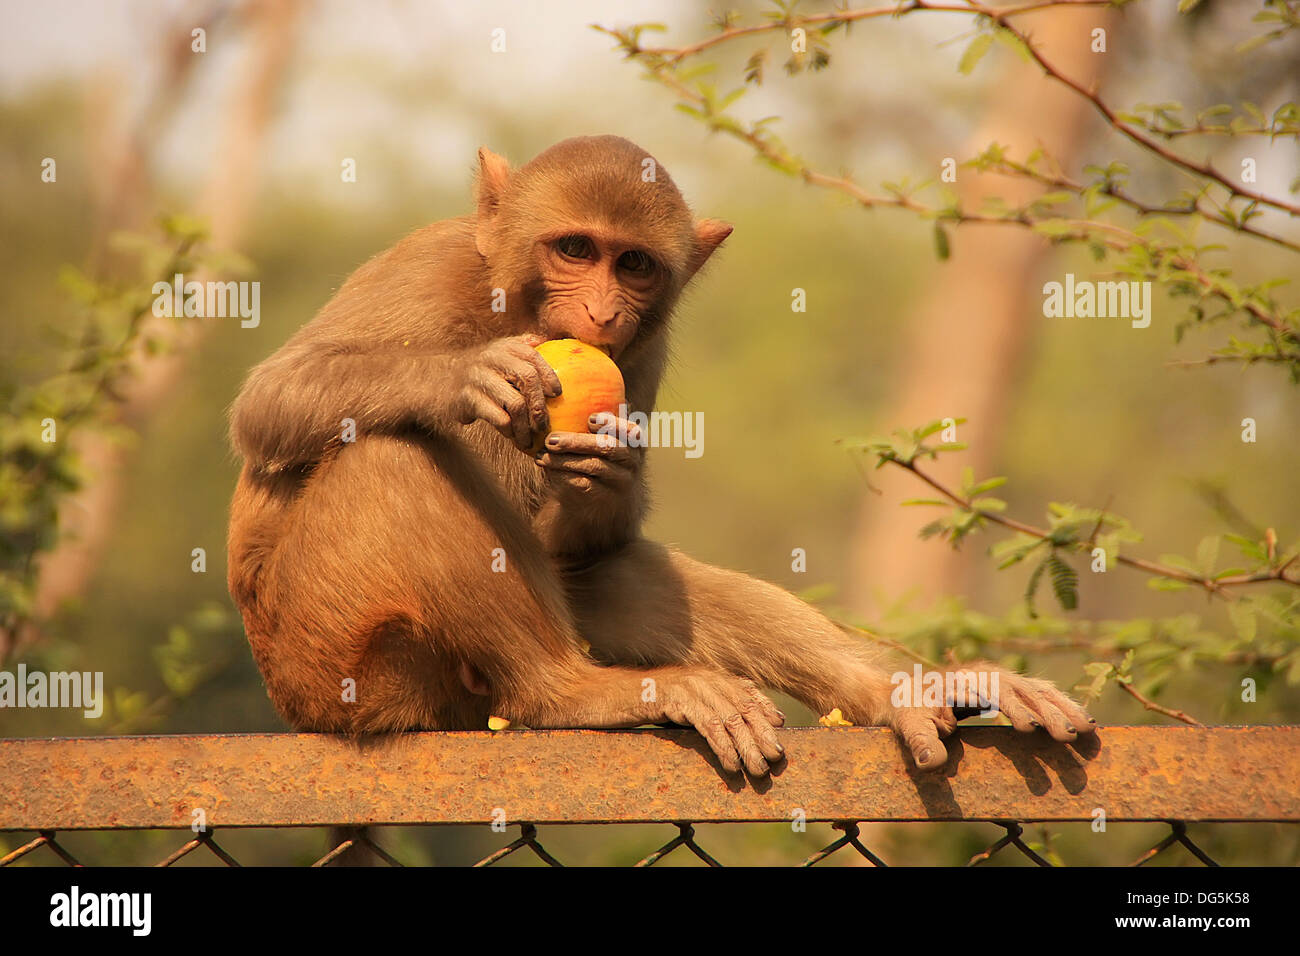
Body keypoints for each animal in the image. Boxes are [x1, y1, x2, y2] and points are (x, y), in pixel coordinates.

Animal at [227, 135, 1095, 780]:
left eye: (634, 264)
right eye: (576, 249)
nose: (601, 311)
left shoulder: (645, 349)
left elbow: (591, 541)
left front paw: (607, 482)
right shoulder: (428, 265)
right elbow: (271, 401)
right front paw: (468, 377)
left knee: (621, 569)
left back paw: (900, 690)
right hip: (339, 661)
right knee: (393, 453)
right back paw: (568, 693)